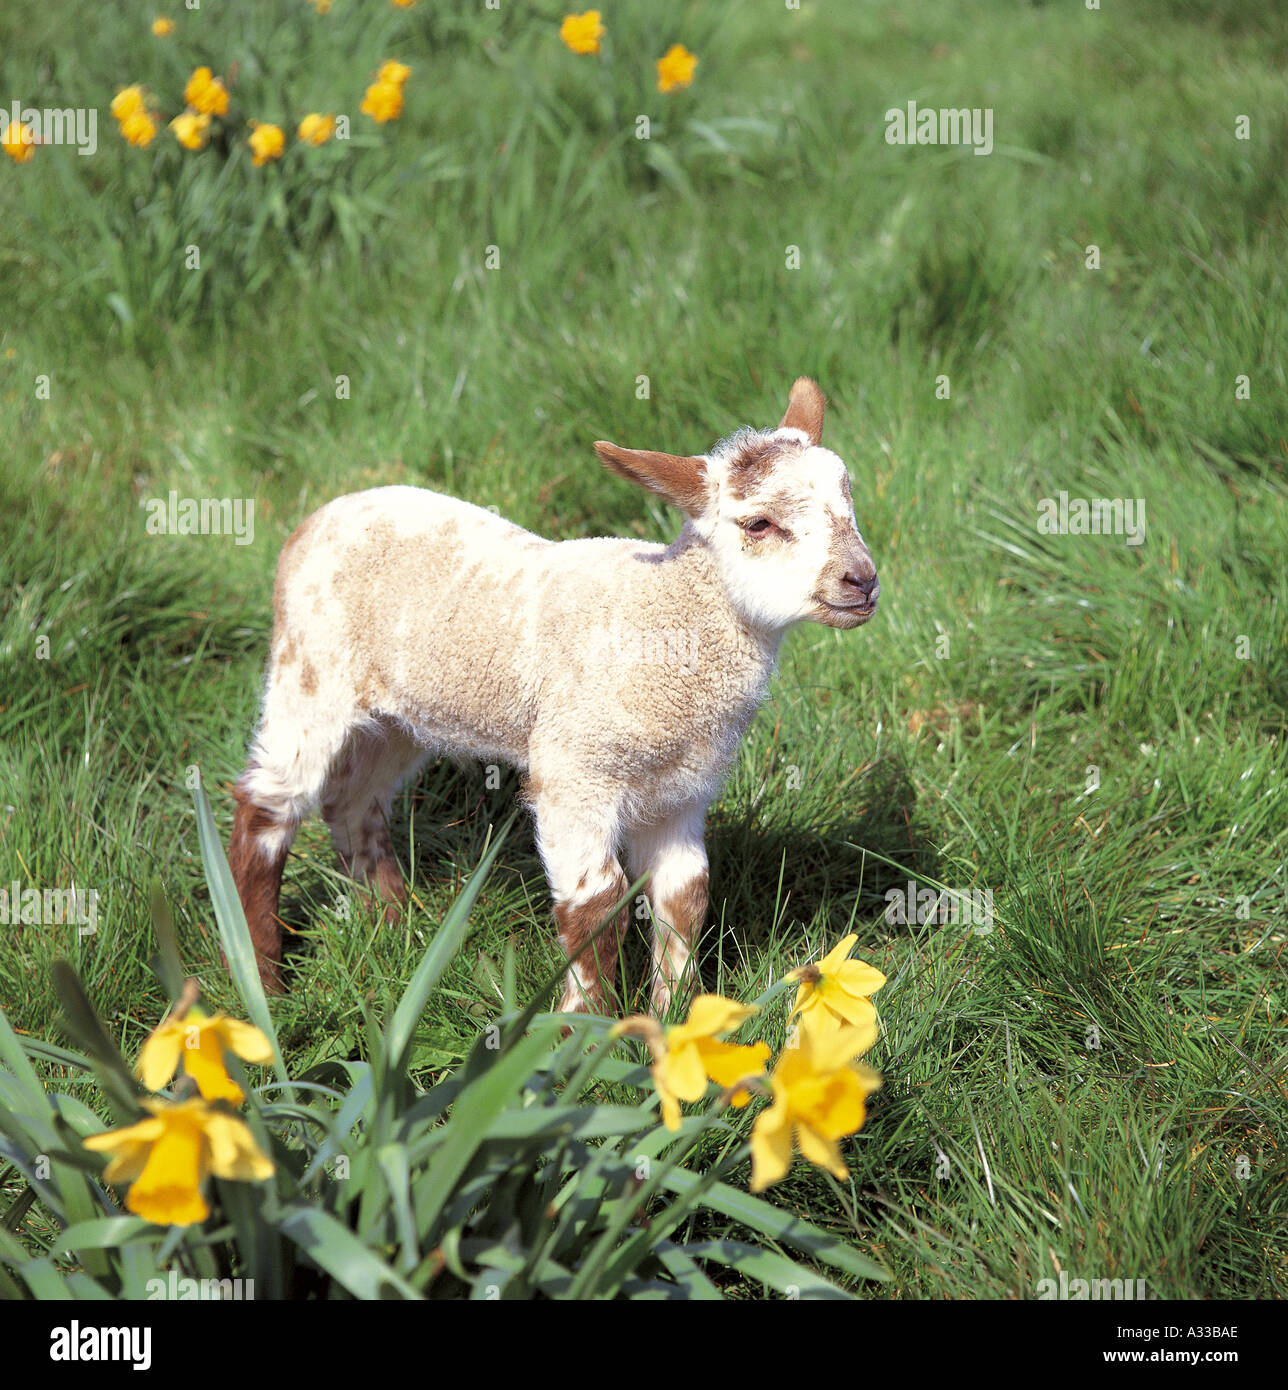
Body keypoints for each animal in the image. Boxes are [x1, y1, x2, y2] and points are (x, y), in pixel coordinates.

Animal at [229, 377, 879, 1014]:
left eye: (848, 501)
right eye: (759, 524)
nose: (864, 580)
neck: (666, 615)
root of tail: (318, 518)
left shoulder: (682, 788)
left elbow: (684, 896)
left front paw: (677, 1015)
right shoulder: (575, 770)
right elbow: (597, 905)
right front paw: (579, 1026)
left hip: (400, 715)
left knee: (353, 801)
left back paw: (395, 926)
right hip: (309, 671)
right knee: (266, 806)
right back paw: (265, 980)